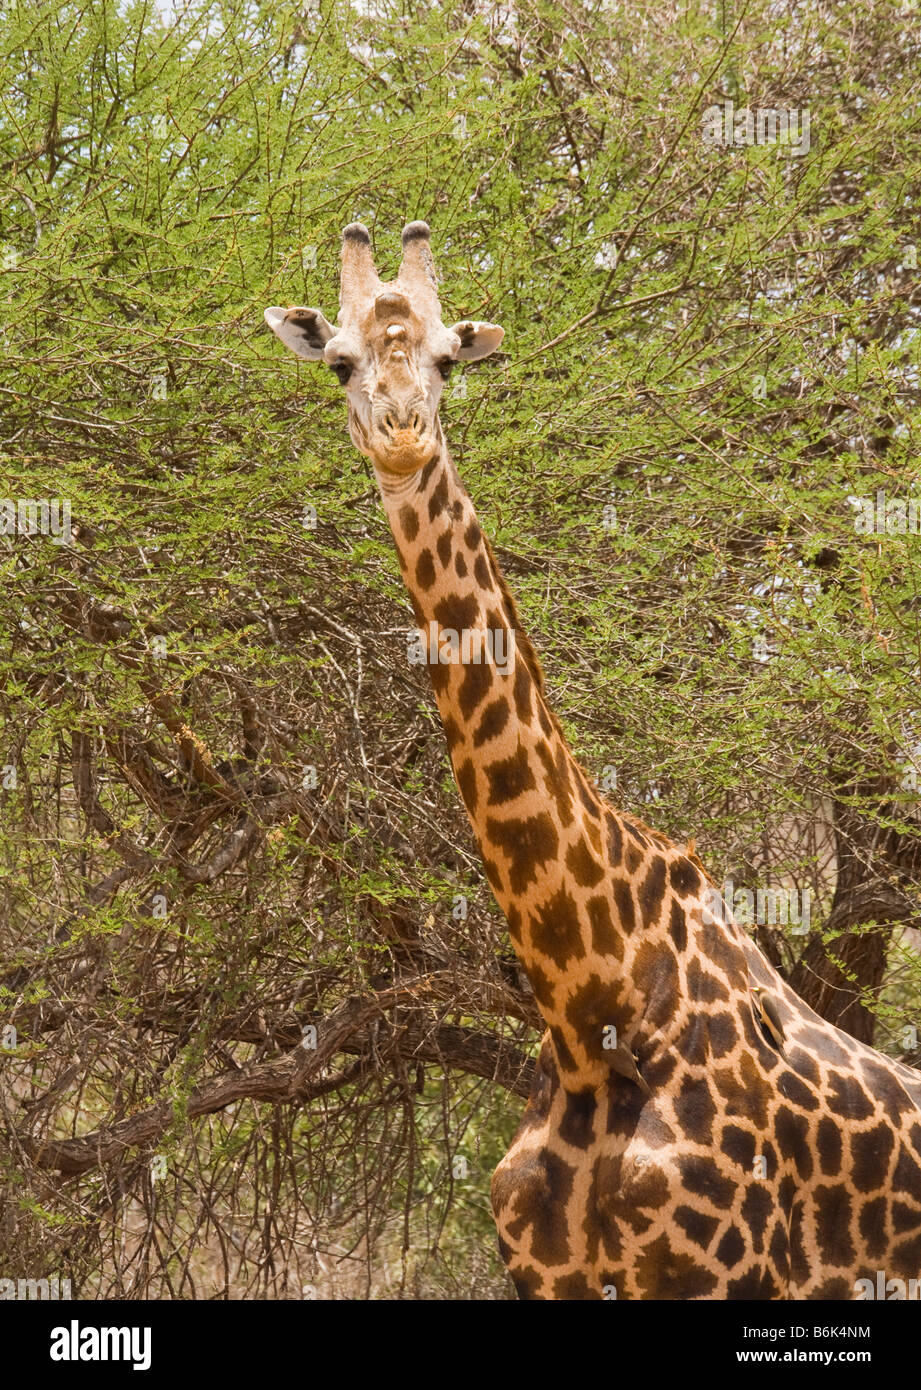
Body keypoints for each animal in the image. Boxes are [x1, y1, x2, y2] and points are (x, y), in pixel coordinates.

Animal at [265, 222, 921, 1300]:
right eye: (340, 363)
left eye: (447, 358)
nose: (402, 430)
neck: (592, 997)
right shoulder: (548, 1272)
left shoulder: (723, 1272)